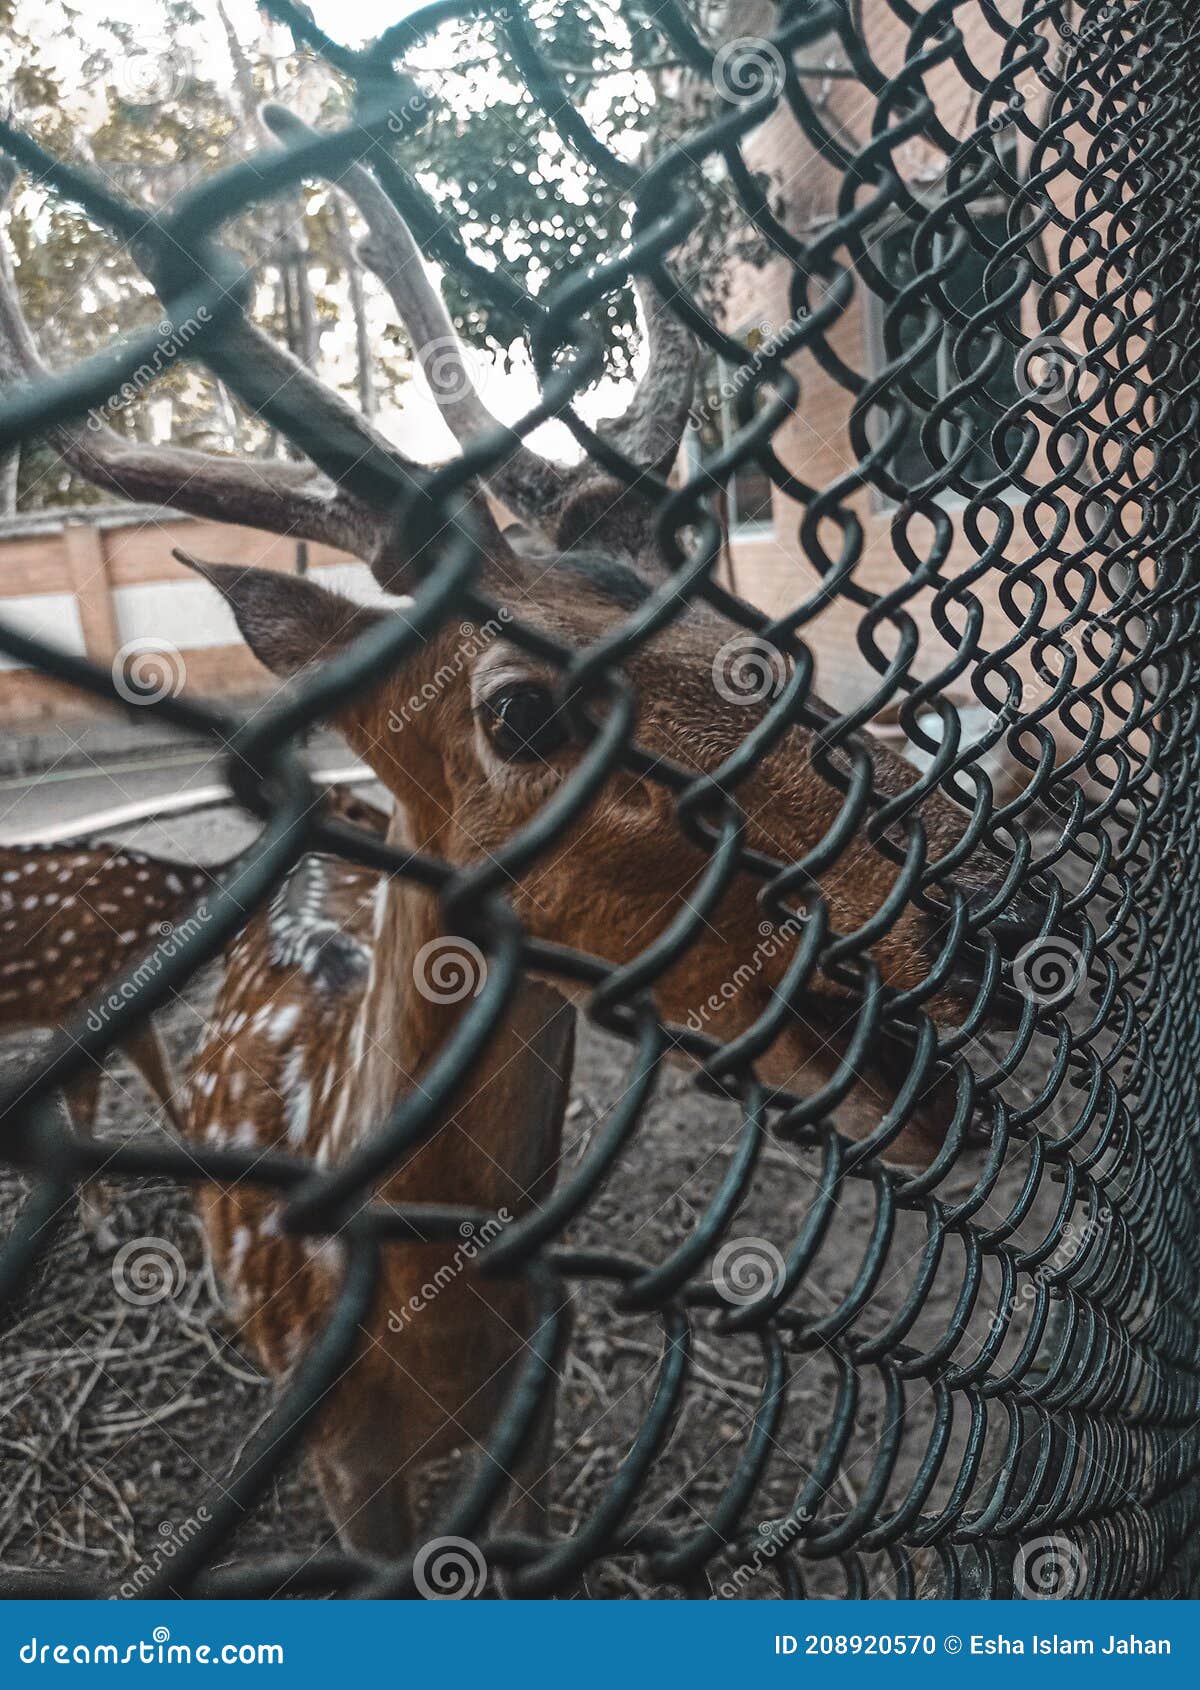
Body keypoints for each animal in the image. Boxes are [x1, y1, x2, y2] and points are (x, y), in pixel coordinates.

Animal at [0, 90, 1052, 1564]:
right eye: (523, 711)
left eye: (746, 624)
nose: (986, 905)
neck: (427, 1320)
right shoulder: (344, 1472)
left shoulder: (538, 1426)